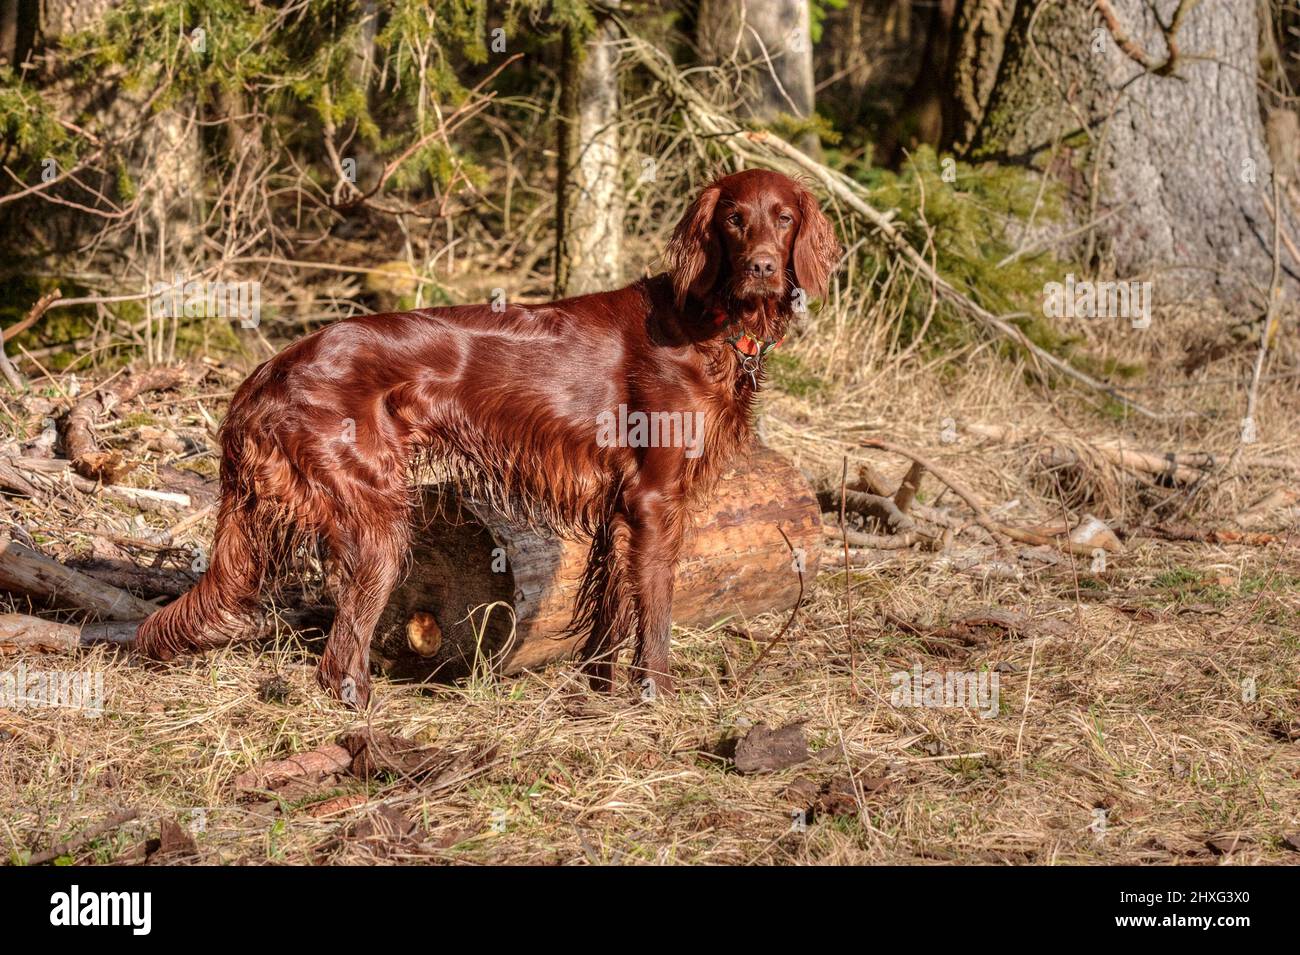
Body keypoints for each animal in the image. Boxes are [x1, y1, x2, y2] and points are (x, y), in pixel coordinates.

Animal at [137, 167, 837, 706]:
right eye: (735, 220)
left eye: (782, 218)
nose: (763, 268)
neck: (707, 321)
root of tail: (268, 371)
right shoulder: (655, 499)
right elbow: (657, 609)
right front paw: (656, 694)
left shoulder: (619, 509)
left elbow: (613, 612)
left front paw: (602, 692)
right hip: (378, 518)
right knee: (340, 652)